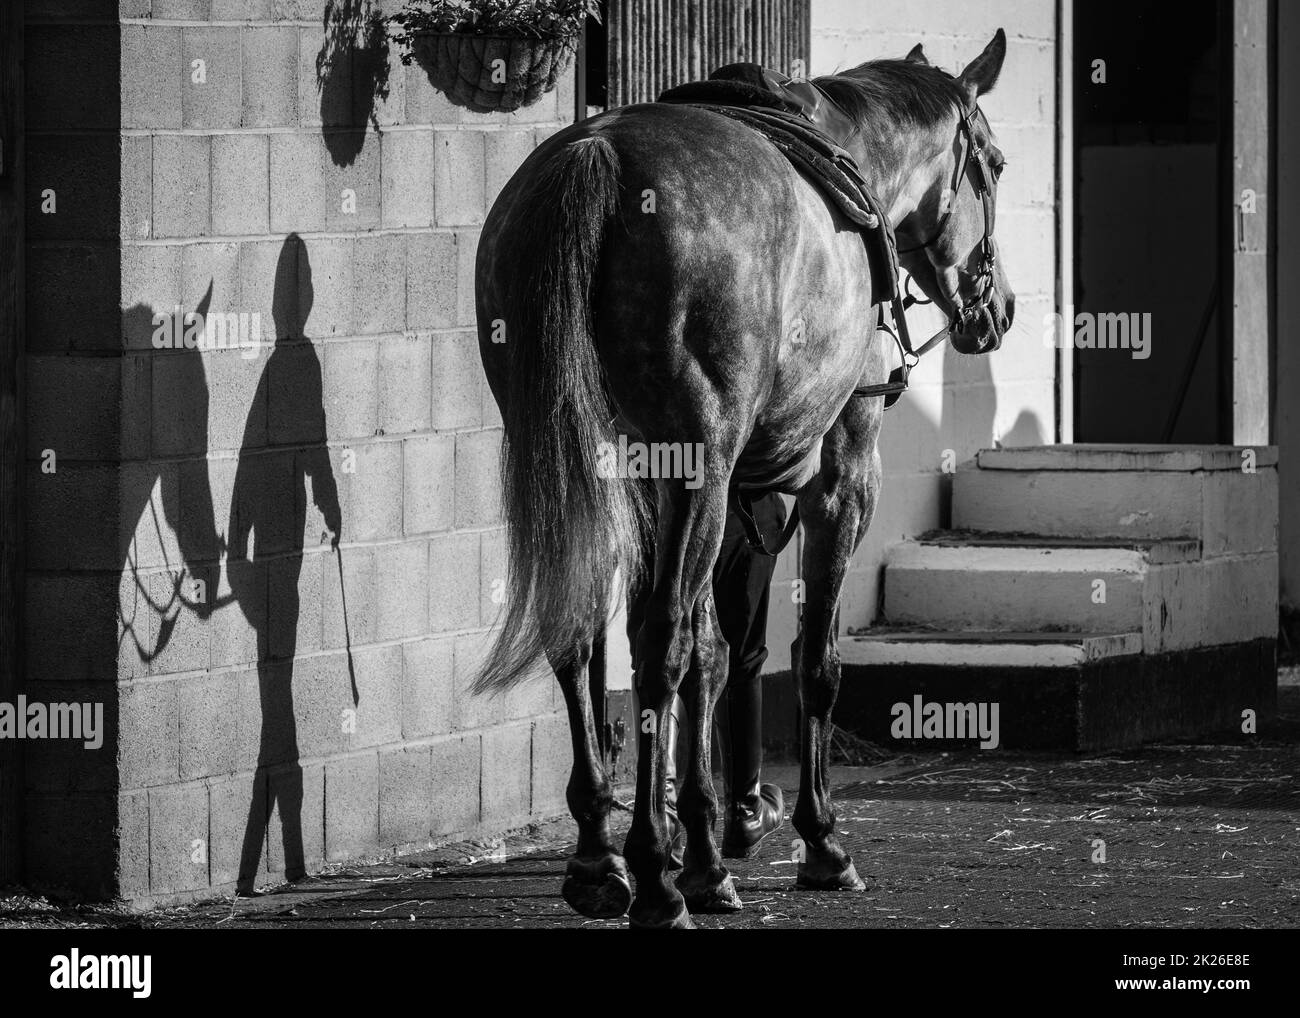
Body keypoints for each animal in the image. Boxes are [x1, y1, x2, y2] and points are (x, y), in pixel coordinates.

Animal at [472, 31, 1014, 929]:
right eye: (995, 165)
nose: (996, 307)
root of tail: (596, 153)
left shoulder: (695, 491)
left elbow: (715, 655)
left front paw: (705, 841)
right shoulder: (839, 478)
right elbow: (808, 659)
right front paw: (817, 841)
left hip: (578, 460)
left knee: (584, 628)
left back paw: (601, 860)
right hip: (702, 465)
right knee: (657, 642)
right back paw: (654, 882)